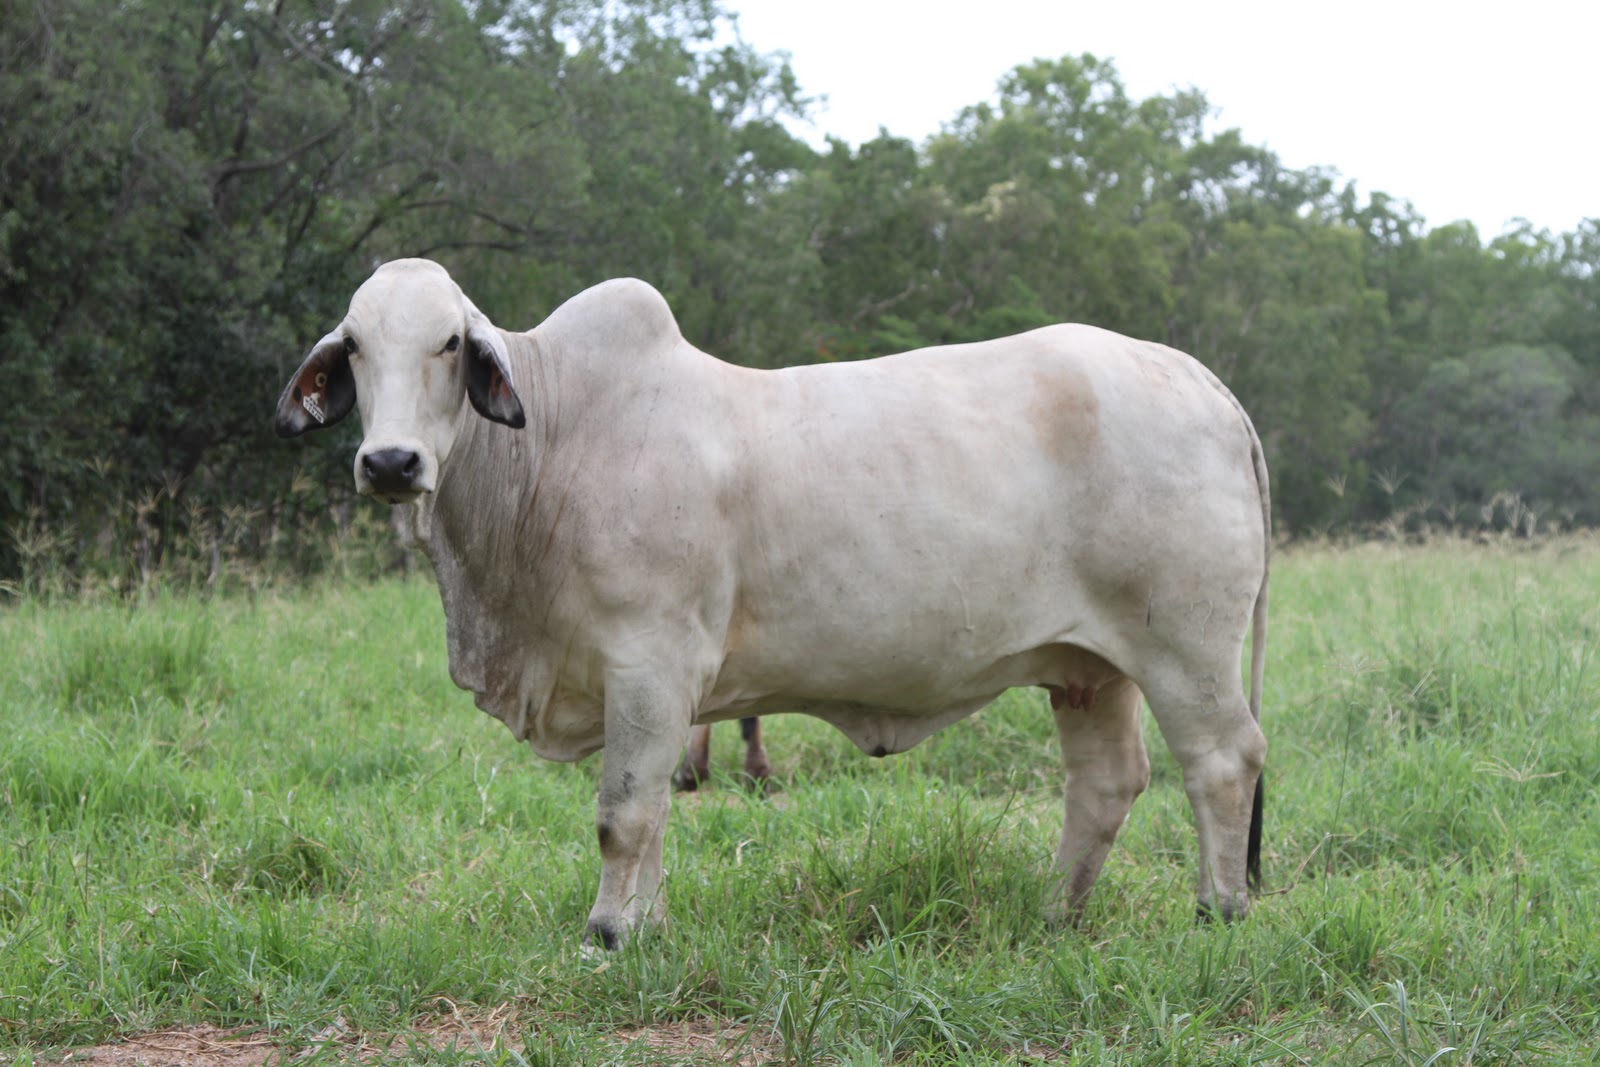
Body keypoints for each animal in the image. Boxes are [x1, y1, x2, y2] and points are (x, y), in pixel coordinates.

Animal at [275, 258, 1270, 949]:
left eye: (449, 342)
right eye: (354, 345)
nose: (391, 462)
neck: (554, 445)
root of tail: (1200, 378)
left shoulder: (651, 664)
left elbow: (622, 813)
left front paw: (607, 933)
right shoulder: (654, 693)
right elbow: (655, 811)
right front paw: (648, 927)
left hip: (1186, 649)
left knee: (1223, 762)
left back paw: (1217, 912)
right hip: (1091, 668)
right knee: (1105, 784)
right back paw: (1050, 909)